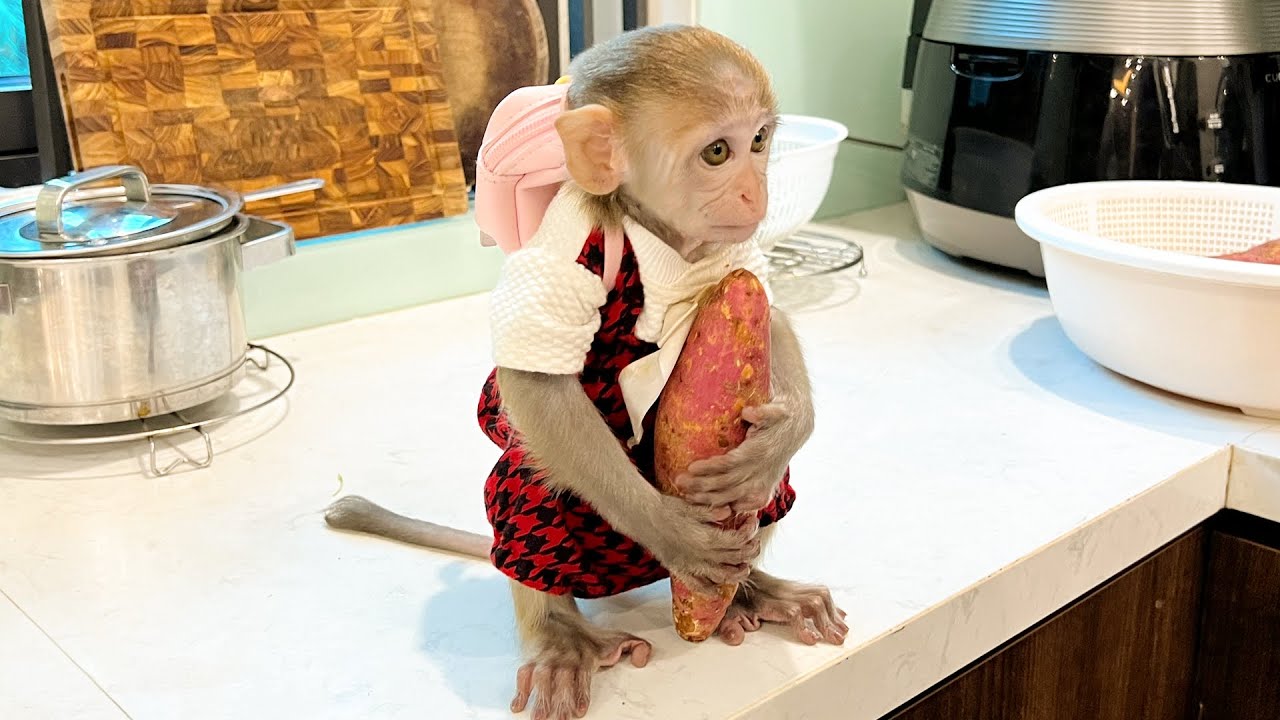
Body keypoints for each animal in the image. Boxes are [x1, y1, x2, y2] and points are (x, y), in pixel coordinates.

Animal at [325, 24, 848, 720]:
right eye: (717, 152)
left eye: (761, 141)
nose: (754, 192)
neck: (658, 242)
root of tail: (632, 580)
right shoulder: (570, 239)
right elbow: (535, 386)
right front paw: (671, 531)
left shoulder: (729, 252)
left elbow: (770, 310)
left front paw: (782, 434)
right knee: (527, 478)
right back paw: (561, 633)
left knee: (771, 491)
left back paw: (752, 591)